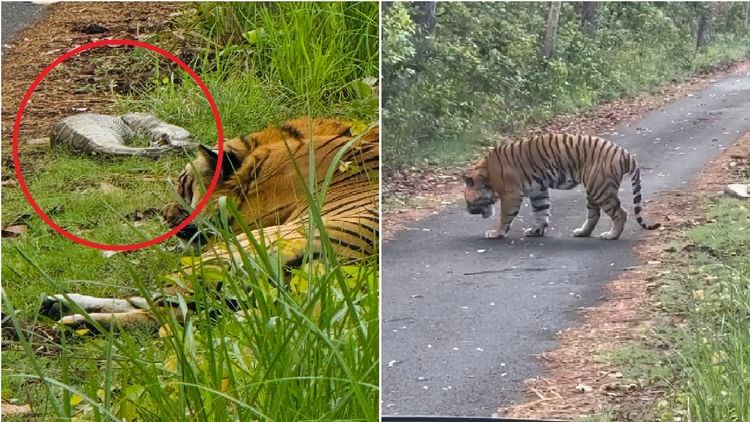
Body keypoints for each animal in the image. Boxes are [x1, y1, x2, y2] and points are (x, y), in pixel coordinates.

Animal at [39, 117, 379, 331]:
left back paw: (72, 318)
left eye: (184, 184)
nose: (164, 215)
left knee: (161, 308)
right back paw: (58, 303)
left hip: (224, 253)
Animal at [463, 133, 660, 240]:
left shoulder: (510, 194)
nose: (468, 211)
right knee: (594, 214)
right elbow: (541, 211)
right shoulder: (538, 190)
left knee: (620, 213)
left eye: (467, 201)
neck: (486, 175)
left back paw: (611, 235)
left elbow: (505, 217)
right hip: (594, 189)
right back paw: (582, 232)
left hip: (601, 189)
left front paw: (496, 233)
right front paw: (536, 231)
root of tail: (625, 153)